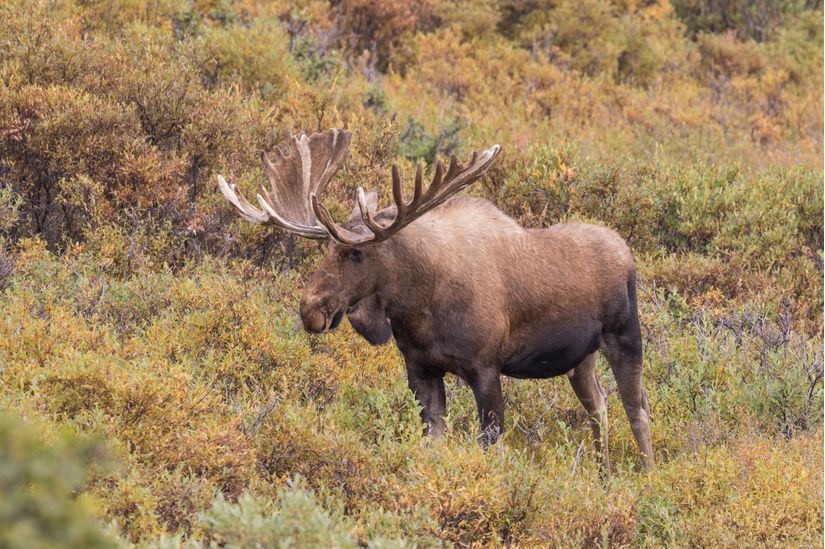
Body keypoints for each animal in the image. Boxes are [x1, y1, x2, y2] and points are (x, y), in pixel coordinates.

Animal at [218, 128, 654, 471]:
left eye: (356, 252)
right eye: (325, 249)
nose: (310, 308)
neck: (418, 306)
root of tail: (626, 251)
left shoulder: (485, 367)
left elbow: (490, 443)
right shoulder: (420, 368)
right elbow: (435, 440)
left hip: (625, 337)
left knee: (637, 409)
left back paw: (646, 476)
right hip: (581, 357)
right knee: (598, 405)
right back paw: (602, 471)